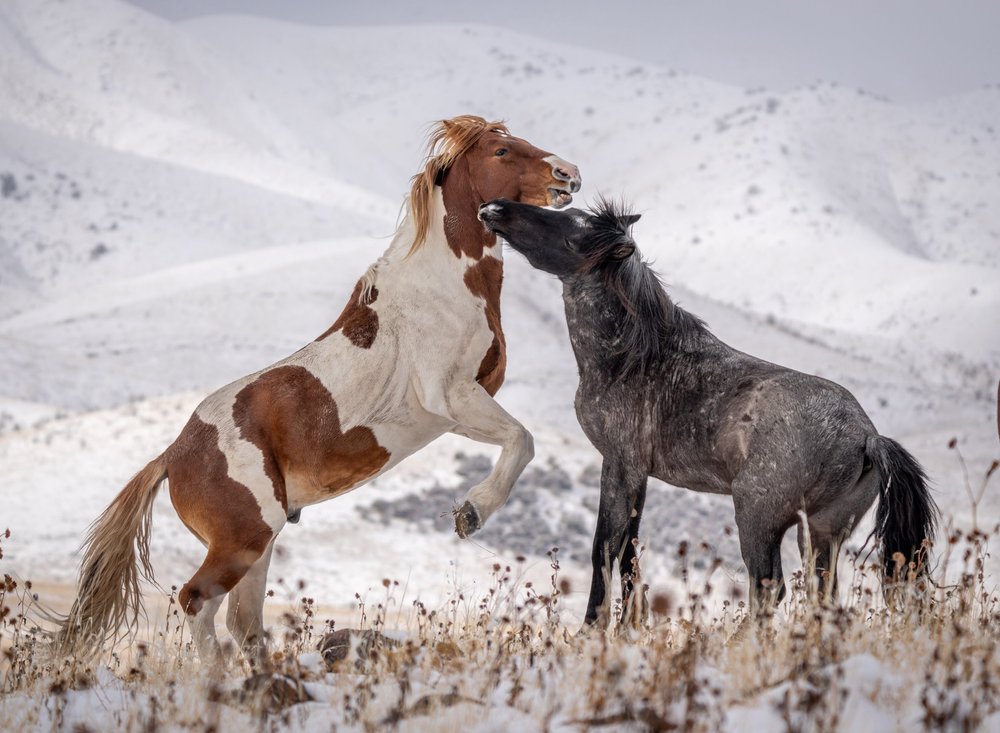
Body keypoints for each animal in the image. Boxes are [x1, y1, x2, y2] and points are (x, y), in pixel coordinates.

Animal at [54, 116, 582, 661]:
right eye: (501, 151)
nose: (569, 175)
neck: (440, 290)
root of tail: (173, 456)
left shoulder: (459, 413)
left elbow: (517, 438)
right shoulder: (453, 396)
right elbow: (522, 439)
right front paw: (471, 513)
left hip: (260, 542)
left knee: (244, 621)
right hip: (244, 537)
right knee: (197, 602)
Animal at [478, 197, 938, 625]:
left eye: (574, 234)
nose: (493, 208)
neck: (634, 359)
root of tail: (867, 437)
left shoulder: (620, 464)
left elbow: (604, 549)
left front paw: (594, 630)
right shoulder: (638, 475)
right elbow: (628, 552)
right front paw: (629, 627)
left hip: (758, 518)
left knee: (769, 586)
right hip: (823, 531)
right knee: (821, 593)